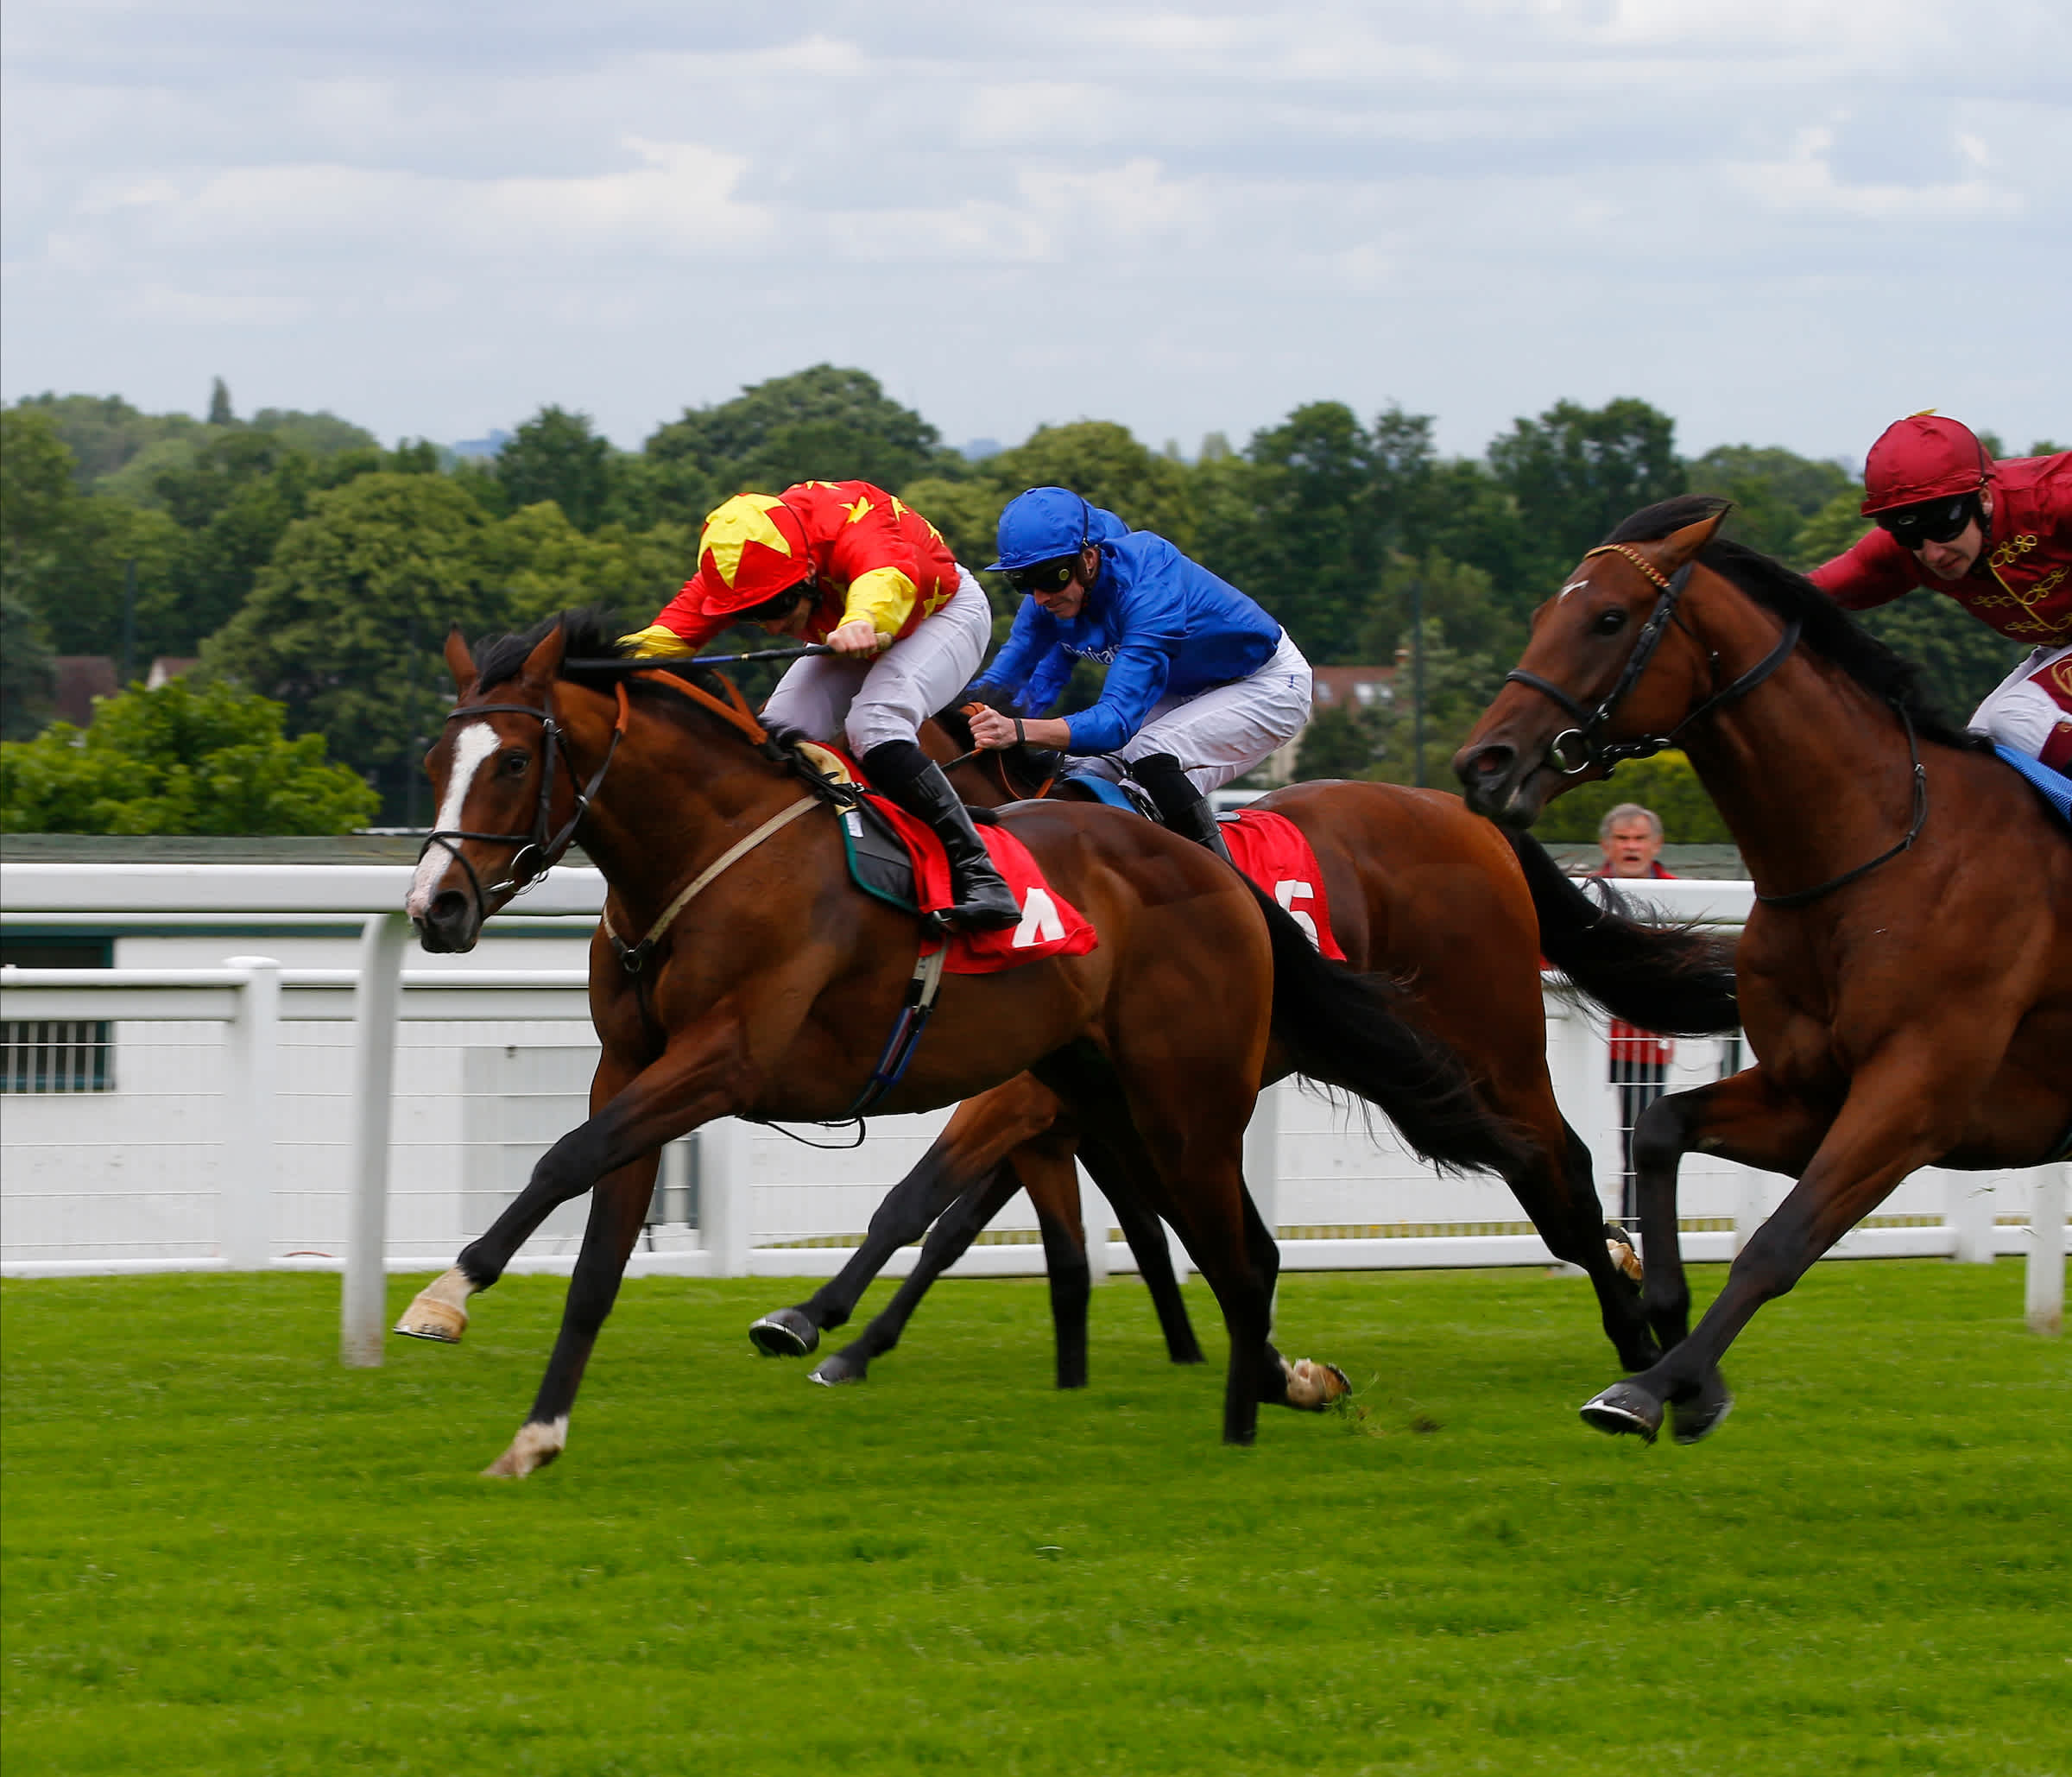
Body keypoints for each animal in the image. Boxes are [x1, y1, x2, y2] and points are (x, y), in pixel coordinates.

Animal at [397, 612, 1532, 1474]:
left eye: (511, 759)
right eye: (433, 760)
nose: (434, 908)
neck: (710, 859)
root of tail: (1214, 871)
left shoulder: (726, 1062)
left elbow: (568, 1159)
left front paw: (448, 1292)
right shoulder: (632, 1066)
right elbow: (596, 1255)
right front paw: (535, 1434)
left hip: (1188, 1094)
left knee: (1243, 1248)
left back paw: (1244, 1421)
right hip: (1113, 1093)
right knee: (1227, 1243)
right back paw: (1283, 1380)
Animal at [748, 745, 1742, 1390]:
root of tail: (1471, 820)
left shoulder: (1025, 1100)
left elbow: (925, 1204)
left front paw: (815, 1324)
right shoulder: (1067, 1105)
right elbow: (986, 1225)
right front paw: (850, 1335)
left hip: (1485, 1034)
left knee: (1555, 1164)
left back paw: (1633, 1324)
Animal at [1452, 495, 2072, 1443]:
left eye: (1608, 619)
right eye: (1540, 613)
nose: (1483, 763)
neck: (1877, 852)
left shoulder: (1915, 1099)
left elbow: (1778, 1244)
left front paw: (1648, 1388)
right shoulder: (1806, 1091)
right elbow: (1662, 1130)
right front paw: (1682, 1363)